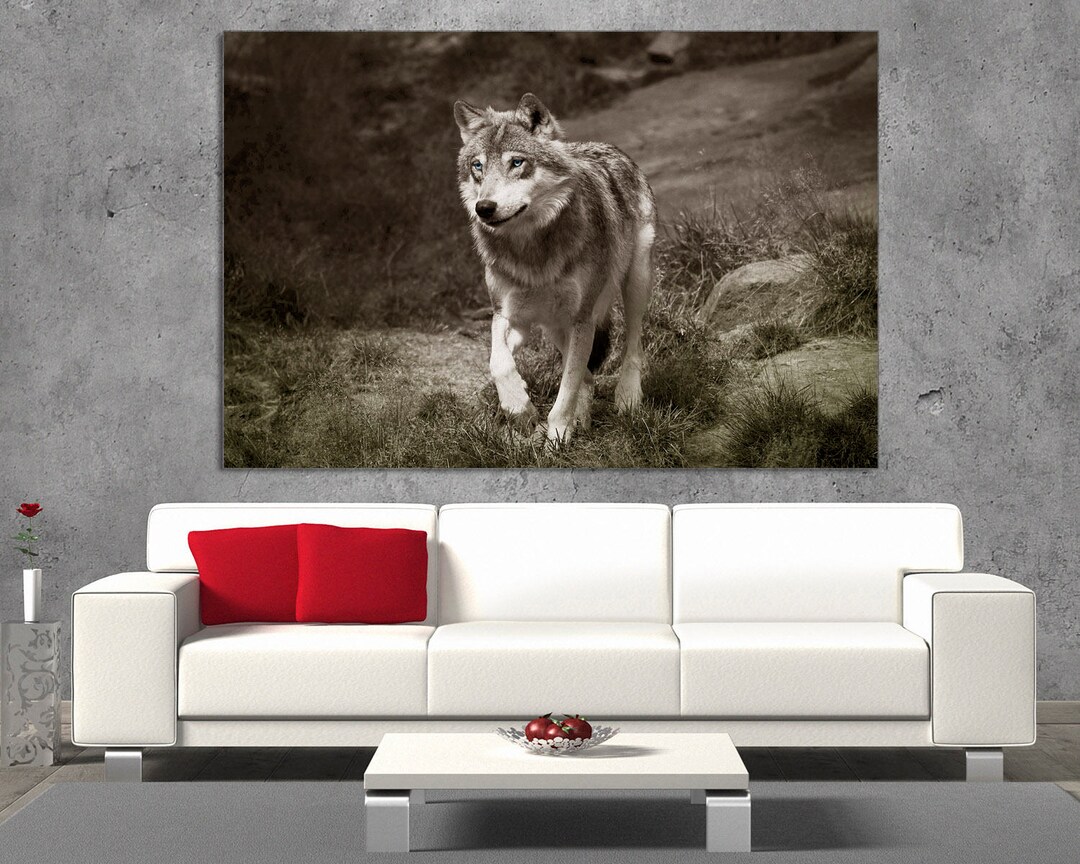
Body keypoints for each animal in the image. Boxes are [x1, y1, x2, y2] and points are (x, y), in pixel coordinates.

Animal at [454, 92, 656, 445]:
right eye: (477, 166)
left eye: (516, 162)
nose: (484, 208)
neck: (532, 252)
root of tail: (604, 146)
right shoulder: (508, 315)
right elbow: (499, 362)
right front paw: (519, 406)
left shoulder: (581, 319)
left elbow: (567, 387)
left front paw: (557, 438)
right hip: (554, 324)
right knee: (587, 377)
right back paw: (583, 418)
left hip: (635, 283)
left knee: (632, 345)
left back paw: (628, 397)